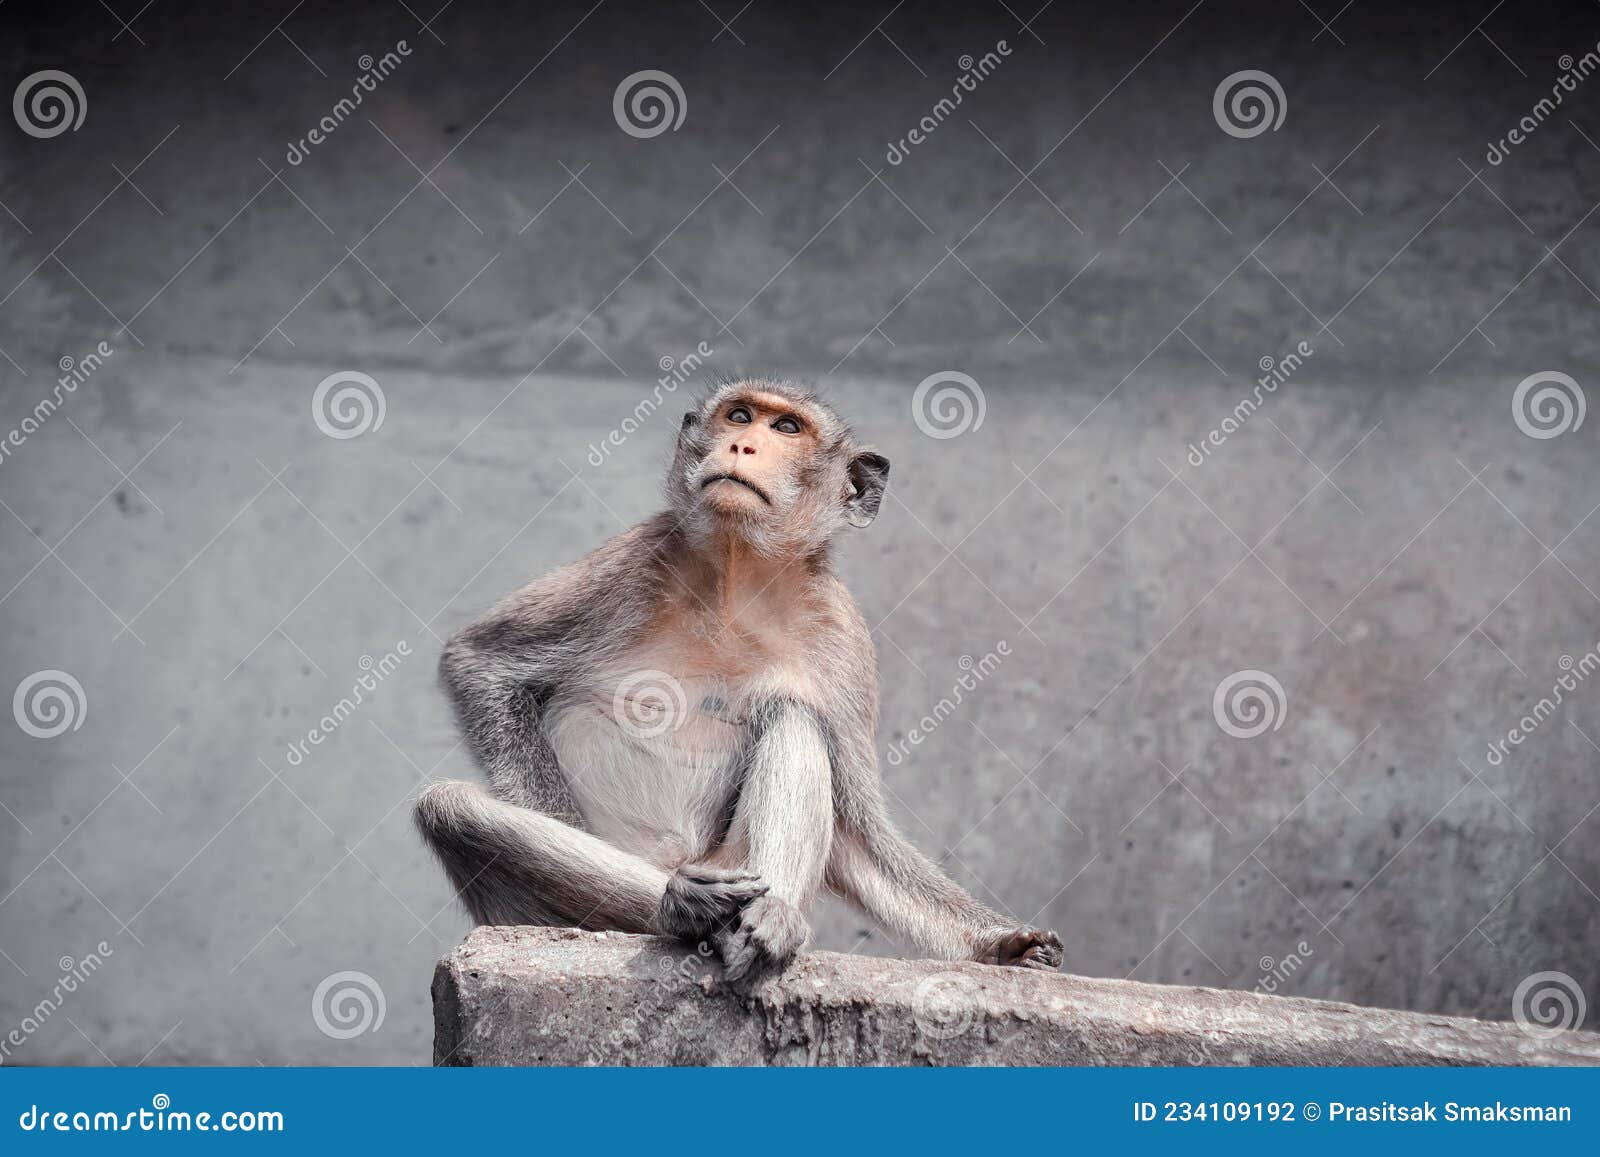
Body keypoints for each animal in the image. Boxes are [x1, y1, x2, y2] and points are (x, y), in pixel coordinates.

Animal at [415, 378, 1063, 984]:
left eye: (787, 428)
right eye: (740, 415)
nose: (742, 444)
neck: (737, 579)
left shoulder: (844, 641)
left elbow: (858, 836)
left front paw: (999, 945)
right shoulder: (632, 564)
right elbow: (480, 662)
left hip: (735, 859)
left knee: (795, 716)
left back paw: (766, 922)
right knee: (448, 807)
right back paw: (681, 905)